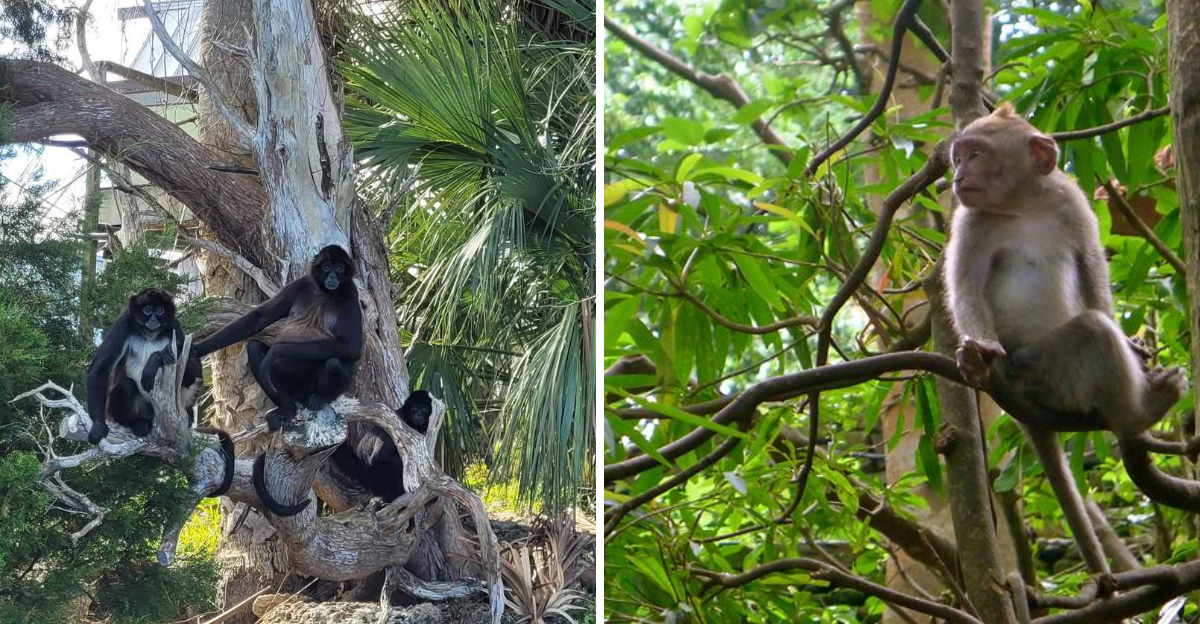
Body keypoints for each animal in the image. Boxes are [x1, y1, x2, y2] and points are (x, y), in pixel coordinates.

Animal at [86, 288, 204, 444]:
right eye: (147, 310)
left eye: (160, 310)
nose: (153, 319)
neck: (150, 334)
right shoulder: (123, 324)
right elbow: (100, 369)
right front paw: (98, 424)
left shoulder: (174, 325)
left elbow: (196, 365)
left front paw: (157, 358)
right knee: (125, 384)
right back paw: (138, 423)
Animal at [192, 245, 363, 431]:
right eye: (326, 267)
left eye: (339, 268)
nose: (332, 276)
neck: (324, 292)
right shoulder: (299, 284)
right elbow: (258, 318)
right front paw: (197, 349)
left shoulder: (350, 291)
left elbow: (351, 347)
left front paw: (276, 351)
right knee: (254, 348)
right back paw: (287, 408)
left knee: (333, 362)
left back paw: (319, 398)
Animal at [944, 103, 1187, 574]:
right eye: (959, 157)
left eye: (975, 154)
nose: (958, 177)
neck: (1023, 206)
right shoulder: (969, 220)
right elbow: (965, 288)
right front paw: (977, 356)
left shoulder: (1070, 202)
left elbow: (1090, 267)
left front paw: (1133, 345)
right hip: (1037, 372)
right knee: (1091, 334)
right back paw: (1140, 412)